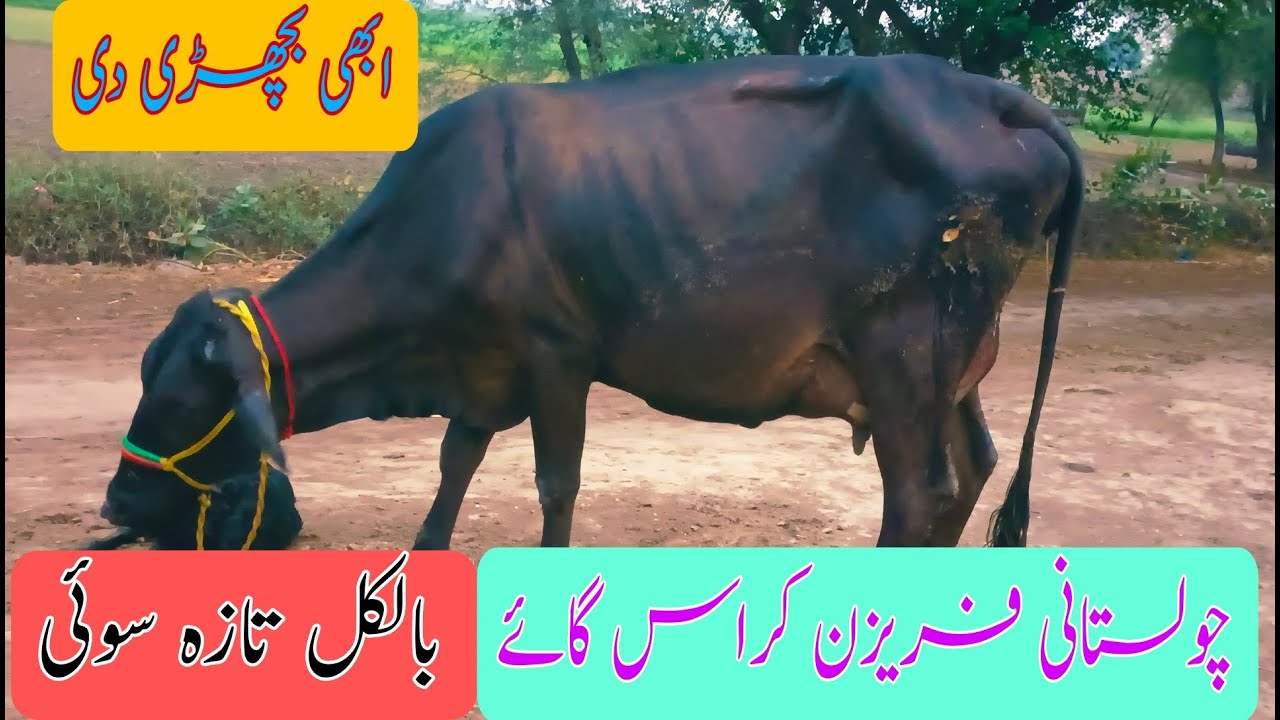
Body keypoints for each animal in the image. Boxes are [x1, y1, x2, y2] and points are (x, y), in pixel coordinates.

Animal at [97, 52, 1081, 551]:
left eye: (181, 399)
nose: (114, 505)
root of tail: (989, 94)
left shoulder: (556, 352)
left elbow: (554, 483)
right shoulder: (486, 364)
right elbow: (455, 463)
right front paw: (425, 552)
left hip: (902, 351)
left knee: (921, 491)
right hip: (955, 361)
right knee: (975, 467)